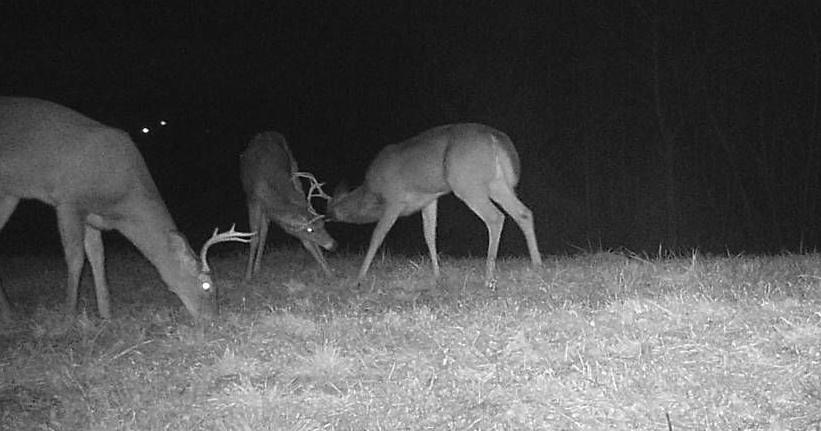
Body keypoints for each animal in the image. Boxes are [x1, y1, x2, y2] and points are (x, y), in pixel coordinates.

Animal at [0, 97, 254, 321]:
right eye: (207, 286)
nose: (213, 318)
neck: (122, 202)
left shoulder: (92, 214)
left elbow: (98, 258)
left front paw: (106, 314)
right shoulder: (68, 200)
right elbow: (75, 258)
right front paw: (69, 316)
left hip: (10, 193)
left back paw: (10, 314)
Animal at [240, 131, 337, 280]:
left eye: (323, 224)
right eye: (311, 230)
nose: (333, 245)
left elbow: (307, 243)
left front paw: (328, 271)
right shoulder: (253, 200)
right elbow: (254, 237)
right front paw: (247, 276)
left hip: (294, 167)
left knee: (265, 230)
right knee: (262, 232)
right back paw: (254, 270)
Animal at [327, 123, 543, 286]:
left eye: (328, 208)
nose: (327, 216)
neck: (371, 193)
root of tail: (495, 138)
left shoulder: (394, 199)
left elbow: (377, 236)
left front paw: (359, 277)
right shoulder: (429, 199)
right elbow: (430, 235)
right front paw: (437, 275)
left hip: (466, 182)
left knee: (495, 217)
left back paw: (488, 276)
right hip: (496, 183)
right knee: (524, 213)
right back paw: (537, 264)